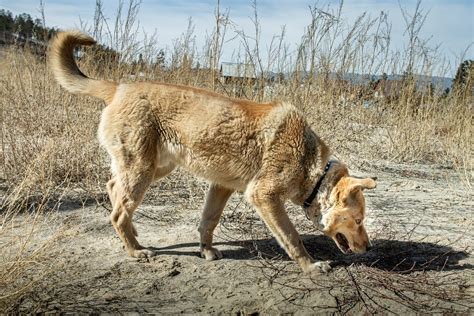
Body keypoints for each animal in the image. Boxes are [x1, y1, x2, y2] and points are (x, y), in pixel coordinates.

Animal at [47, 30, 374, 272]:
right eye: (358, 221)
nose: (369, 248)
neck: (312, 169)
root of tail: (118, 88)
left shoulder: (221, 187)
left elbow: (208, 222)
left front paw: (206, 251)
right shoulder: (264, 197)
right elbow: (292, 238)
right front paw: (310, 267)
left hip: (153, 168)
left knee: (113, 189)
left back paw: (133, 233)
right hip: (142, 171)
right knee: (117, 213)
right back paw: (135, 251)